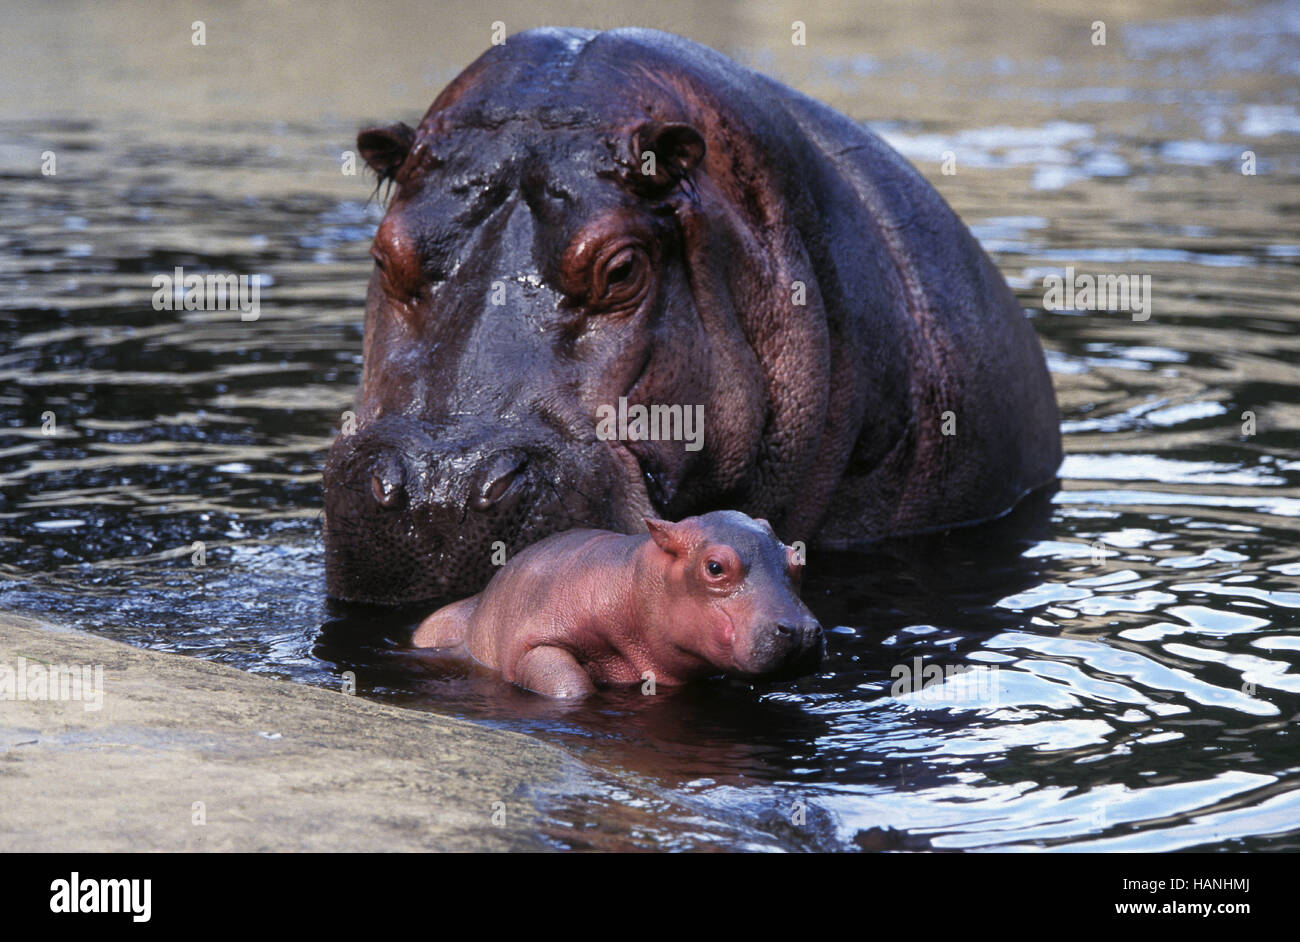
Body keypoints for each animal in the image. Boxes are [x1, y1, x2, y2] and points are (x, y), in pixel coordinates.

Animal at [411, 511, 823, 698]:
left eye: (797, 558)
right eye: (715, 567)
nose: (803, 630)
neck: (634, 580)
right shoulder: (537, 638)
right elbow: (570, 683)